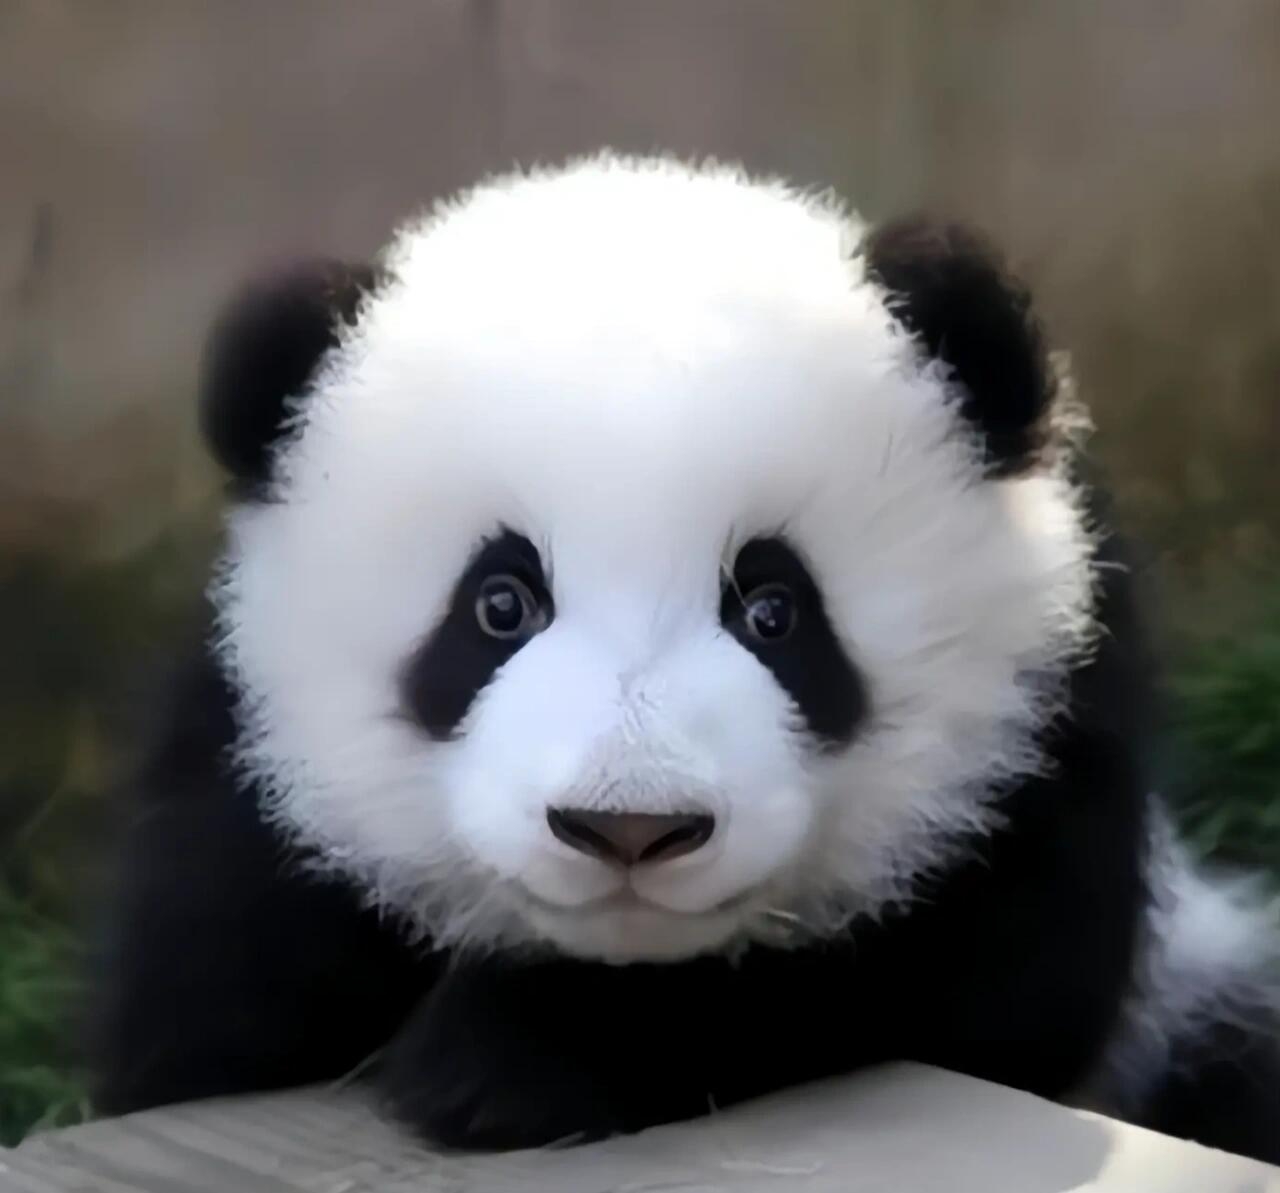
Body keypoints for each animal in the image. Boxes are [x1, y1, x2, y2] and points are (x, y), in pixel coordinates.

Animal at [91, 153, 1280, 1162]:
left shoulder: (1039, 758)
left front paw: (513, 1059)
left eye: (774, 610)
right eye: (498, 605)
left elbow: (967, 985)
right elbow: (202, 1012)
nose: (629, 827)